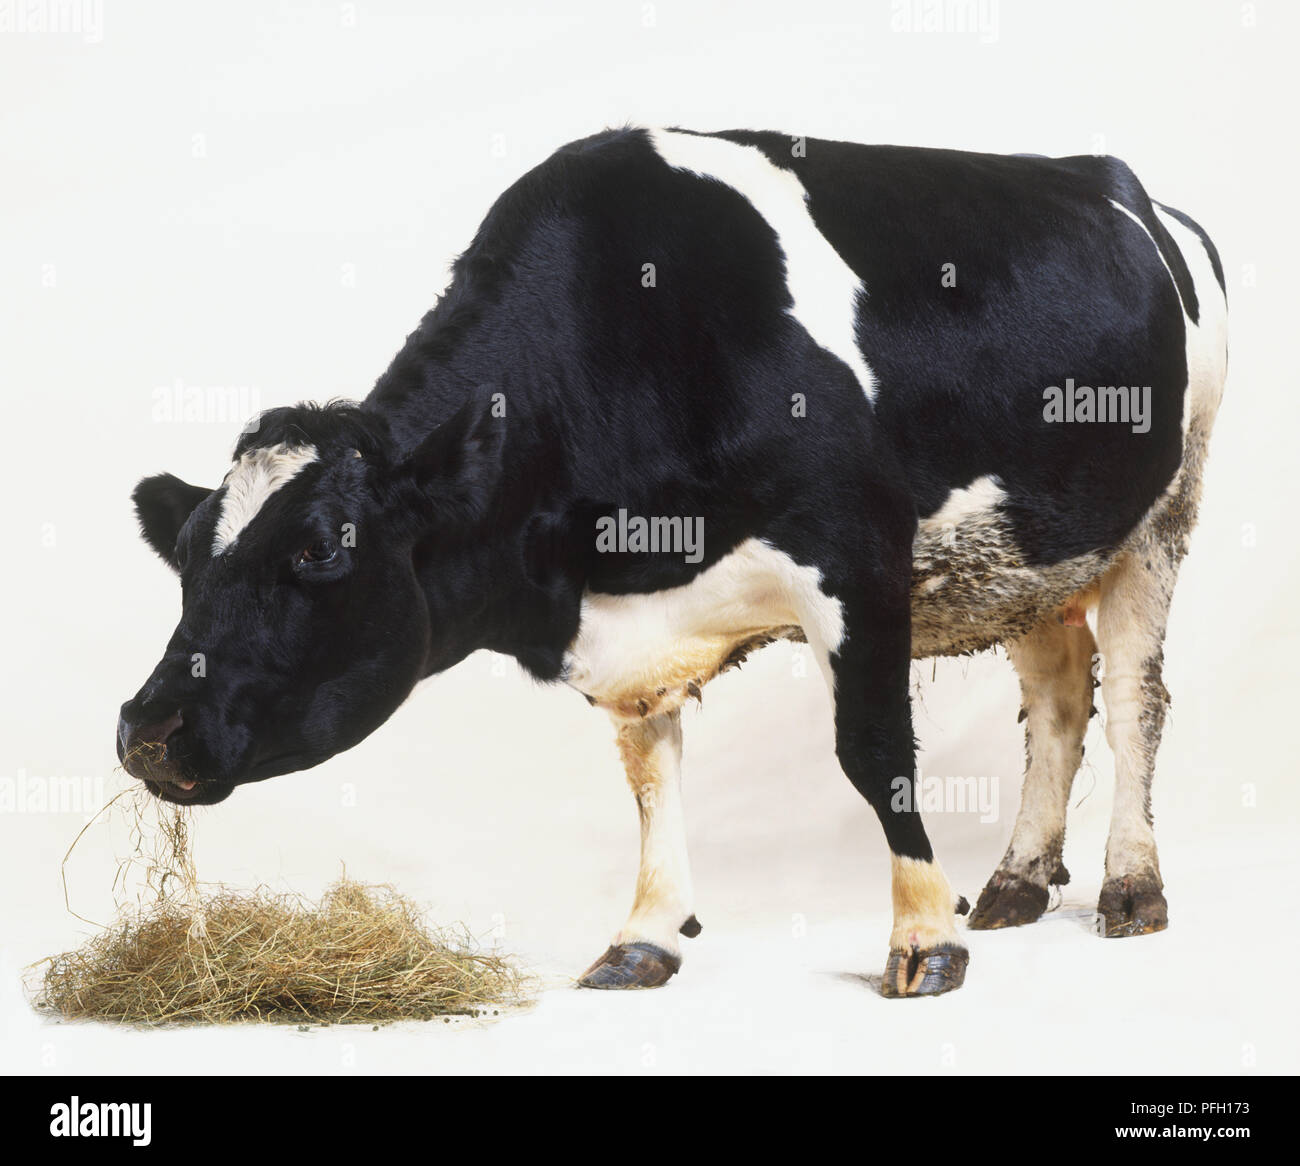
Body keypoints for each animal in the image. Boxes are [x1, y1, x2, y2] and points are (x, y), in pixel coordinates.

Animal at [118, 128, 1227, 996]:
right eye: (184, 559)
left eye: (315, 549)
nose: (146, 729)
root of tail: (1136, 192)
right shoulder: (628, 632)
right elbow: (650, 777)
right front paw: (645, 935)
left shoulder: (855, 559)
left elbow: (874, 753)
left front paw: (923, 936)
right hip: (1029, 555)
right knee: (1060, 694)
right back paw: (1015, 882)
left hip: (1166, 508)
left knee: (1135, 698)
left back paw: (1131, 884)